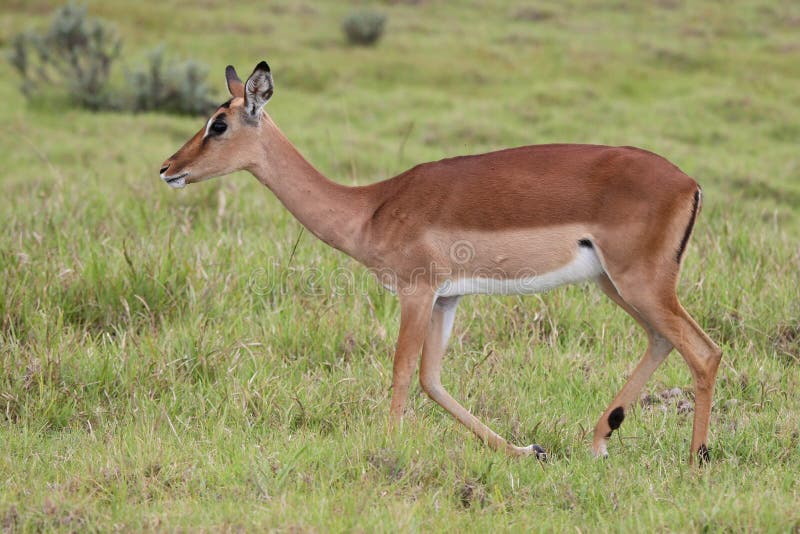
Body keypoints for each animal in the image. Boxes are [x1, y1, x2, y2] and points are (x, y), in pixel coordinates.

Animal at [160, 61, 722, 464]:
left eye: (218, 124)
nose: (167, 168)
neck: (372, 207)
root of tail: (689, 183)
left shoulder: (416, 291)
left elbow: (402, 370)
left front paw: (385, 450)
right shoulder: (447, 299)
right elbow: (432, 379)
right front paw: (527, 450)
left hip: (639, 283)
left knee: (703, 350)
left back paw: (695, 458)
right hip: (615, 284)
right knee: (662, 340)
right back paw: (600, 440)